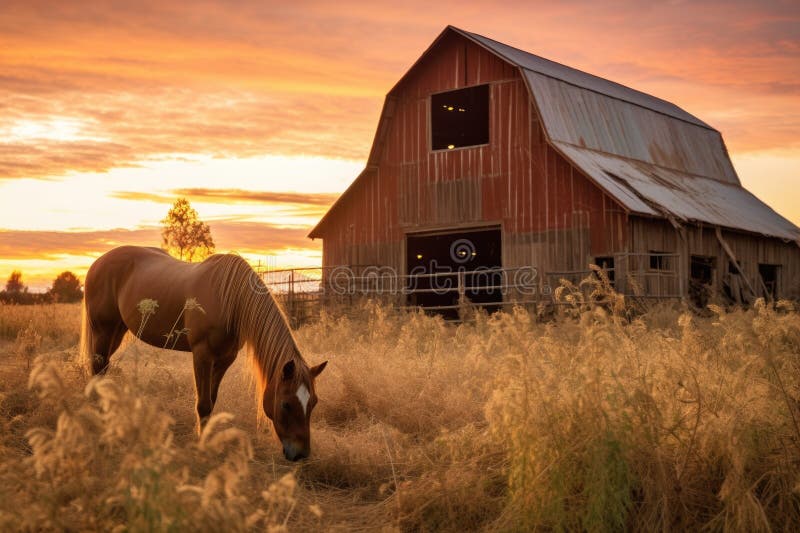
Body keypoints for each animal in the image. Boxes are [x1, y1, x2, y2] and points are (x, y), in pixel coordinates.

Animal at [79, 246, 327, 461]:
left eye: (313, 402)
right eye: (286, 404)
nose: (301, 454)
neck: (229, 299)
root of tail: (96, 264)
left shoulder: (225, 359)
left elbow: (212, 400)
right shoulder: (202, 355)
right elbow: (203, 404)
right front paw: (202, 446)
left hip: (117, 331)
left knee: (103, 366)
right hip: (103, 330)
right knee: (97, 368)